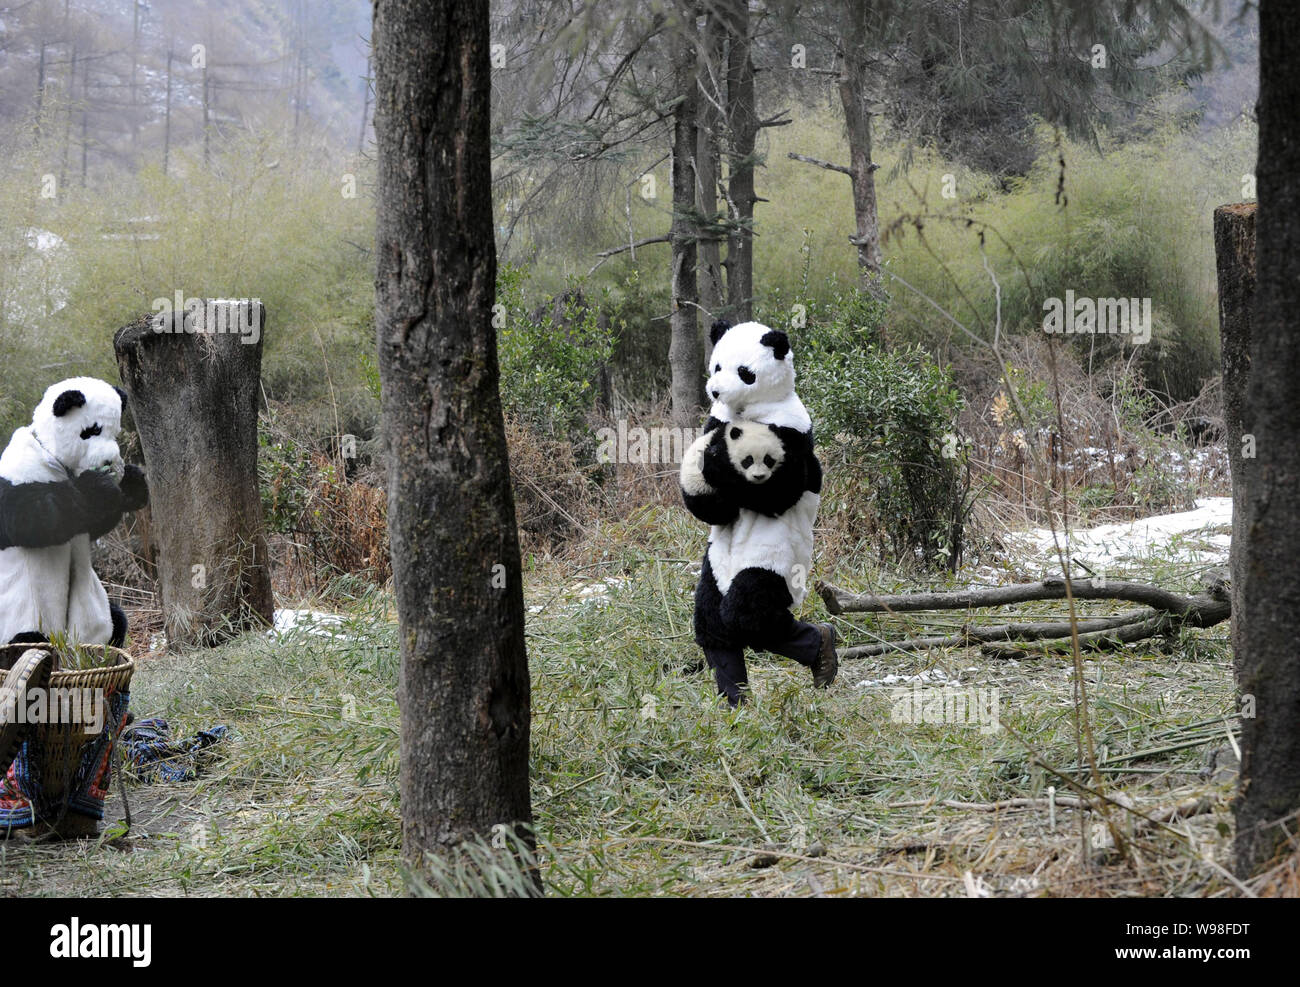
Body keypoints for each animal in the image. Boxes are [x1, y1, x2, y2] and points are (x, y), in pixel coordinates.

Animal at [0, 377, 149, 648]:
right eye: (91, 431)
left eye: (114, 433)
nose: (109, 461)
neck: (49, 452)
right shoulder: (17, 477)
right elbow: (36, 519)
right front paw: (98, 487)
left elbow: (89, 523)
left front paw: (131, 484)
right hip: (20, 614)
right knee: (26, 640)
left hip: (100, 609)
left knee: (116, 617)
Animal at [680, 321, 835, 705]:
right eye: (716, 366)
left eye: (744, 372)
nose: (715, 390)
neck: (744, 412)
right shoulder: (713, 423)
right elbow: (714, 510)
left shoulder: (790, 431)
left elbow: (778, 494)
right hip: (713, 563)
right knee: (712, 621)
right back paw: (735, 698)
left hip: (776, 561)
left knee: (748, 612)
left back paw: (822, 647)